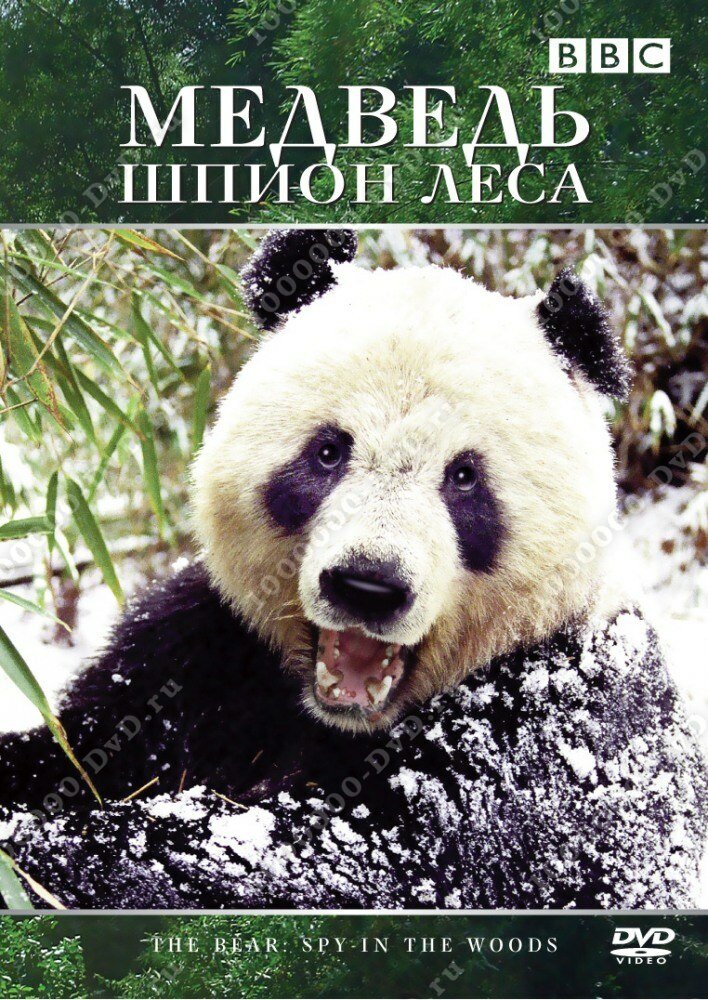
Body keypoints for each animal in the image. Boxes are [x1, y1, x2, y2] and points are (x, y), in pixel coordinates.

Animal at [0, 228, 705, 909]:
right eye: (329, 451)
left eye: (465, 478)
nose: (368, 585)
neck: (331, 715)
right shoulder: (205, 648)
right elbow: (82, 746)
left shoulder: (540, 743)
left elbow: (324, 862)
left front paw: (42, 856)